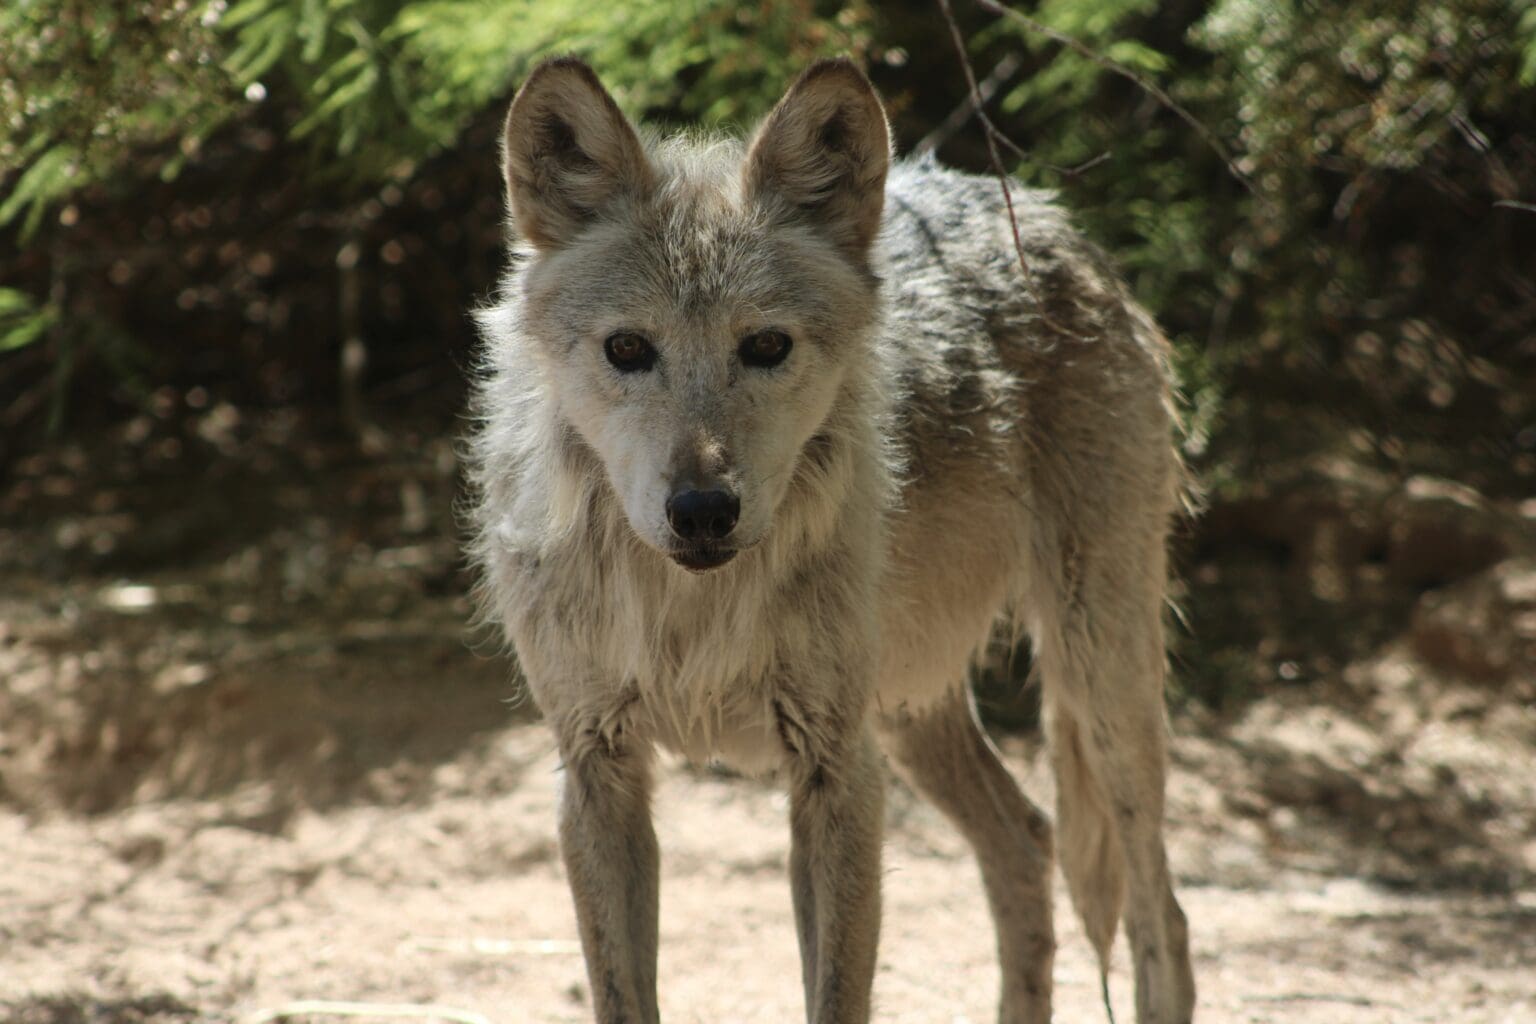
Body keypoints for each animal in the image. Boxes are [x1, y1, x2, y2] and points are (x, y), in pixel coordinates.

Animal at [466, 56, 1196, 1024]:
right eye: (627, 349)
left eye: (766, 346)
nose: (703, 510)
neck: (692, 612)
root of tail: (1041, 213)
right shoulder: (597, 772)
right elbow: (623, 994)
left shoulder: (836, 770)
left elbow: (837, 994)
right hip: (913, 711)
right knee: (1026, 839)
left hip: (1095, 682)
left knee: (1162, 917)